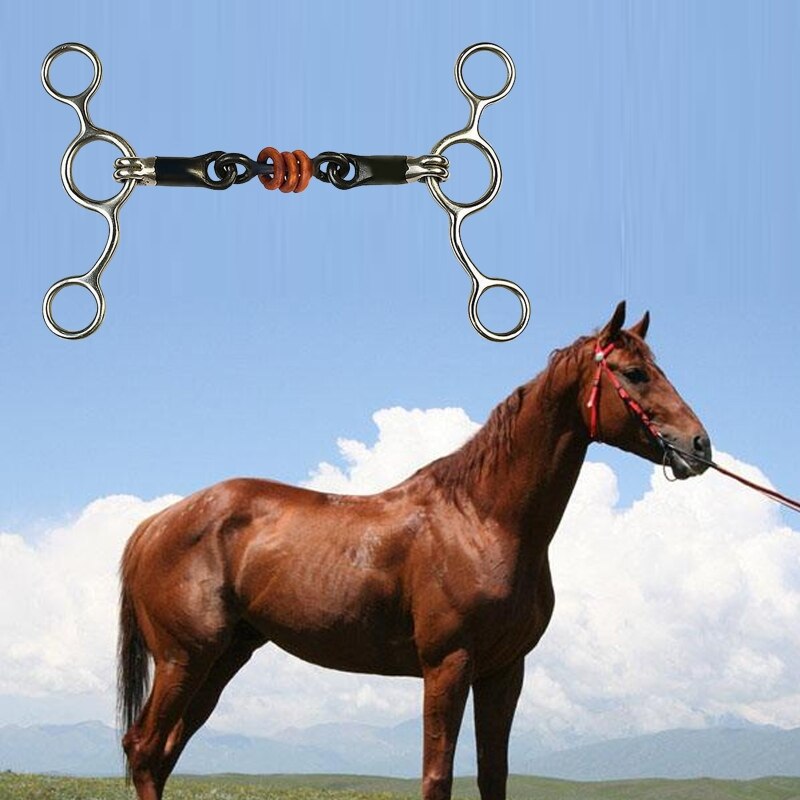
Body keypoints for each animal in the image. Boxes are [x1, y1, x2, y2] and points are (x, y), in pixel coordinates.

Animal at [117, 301, 711, 800]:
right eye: (635, 374)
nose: (700, 445)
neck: (483, 519)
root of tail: (155, 525)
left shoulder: (504, 671)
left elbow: (493, 777)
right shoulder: (447, 666)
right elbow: (437, 777)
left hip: (223, 659)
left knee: (165, 751)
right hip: (183, 658)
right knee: (144, 749)